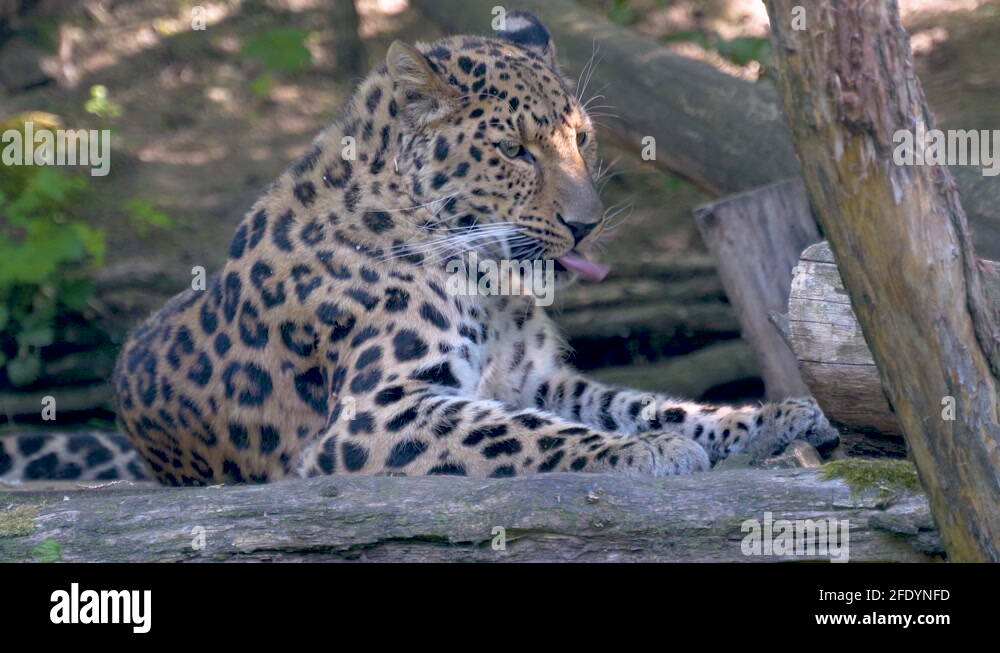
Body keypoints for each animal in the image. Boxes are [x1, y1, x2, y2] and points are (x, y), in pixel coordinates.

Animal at [0, 11, 838, 485]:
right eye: (514, 149)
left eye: (581, 138)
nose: (586, 225)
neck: (494, 289)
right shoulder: (379, 410)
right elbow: (525, 433)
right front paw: (650, 453)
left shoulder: (537, 379)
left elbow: (641, 402)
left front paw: (773, 417)